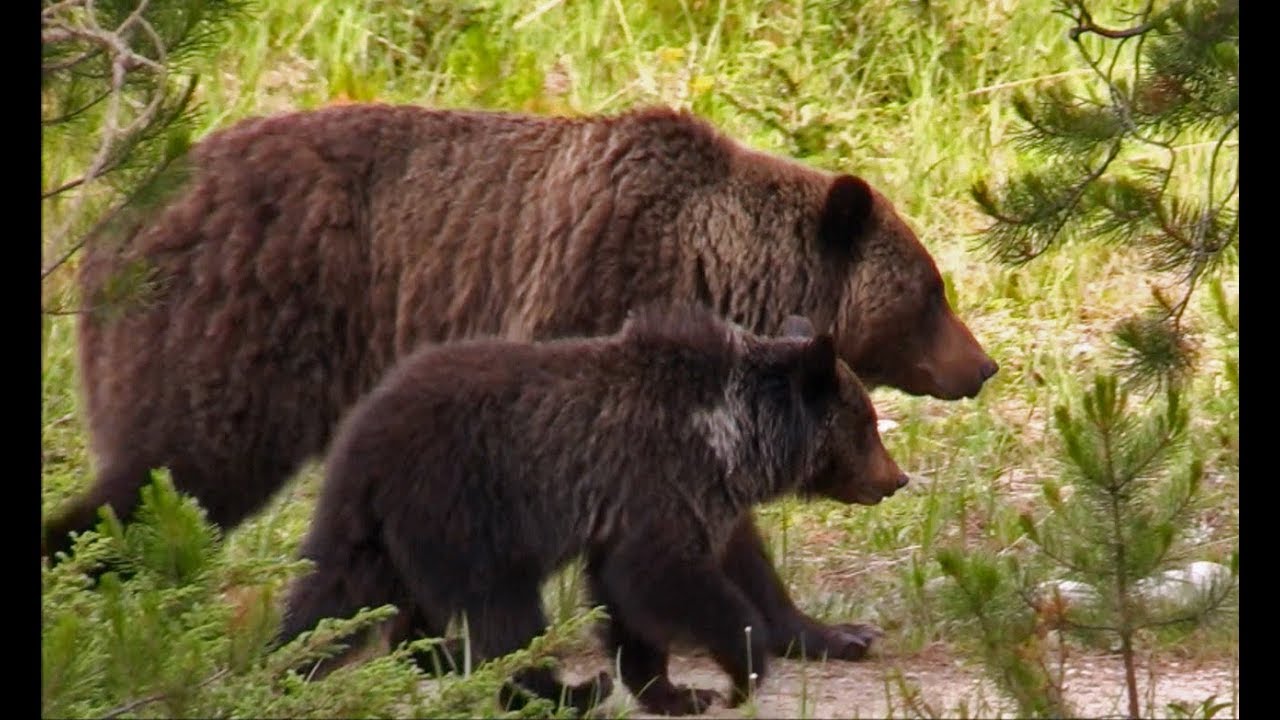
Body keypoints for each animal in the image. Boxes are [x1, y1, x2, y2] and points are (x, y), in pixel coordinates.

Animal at [46, 103, 997, 664]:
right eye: (933, 290)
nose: (982, 365)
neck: (711, 266)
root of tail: (115, 219)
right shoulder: (592, 300)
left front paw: (829, 631)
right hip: (234, 324)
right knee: (175, 470)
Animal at [276, 304, 910, 716]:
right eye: (867, 424)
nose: (897, 478)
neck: (733, 441)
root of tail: (361, 437)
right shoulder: (657, 482)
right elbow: (659, 579)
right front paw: (733, 673)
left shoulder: (686, 505)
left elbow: (715, 579)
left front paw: (838, 636)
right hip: (466, 507)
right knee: (502, 612)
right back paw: (565, 690)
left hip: (380, 529)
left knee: (333, 595)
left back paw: (298, 664)